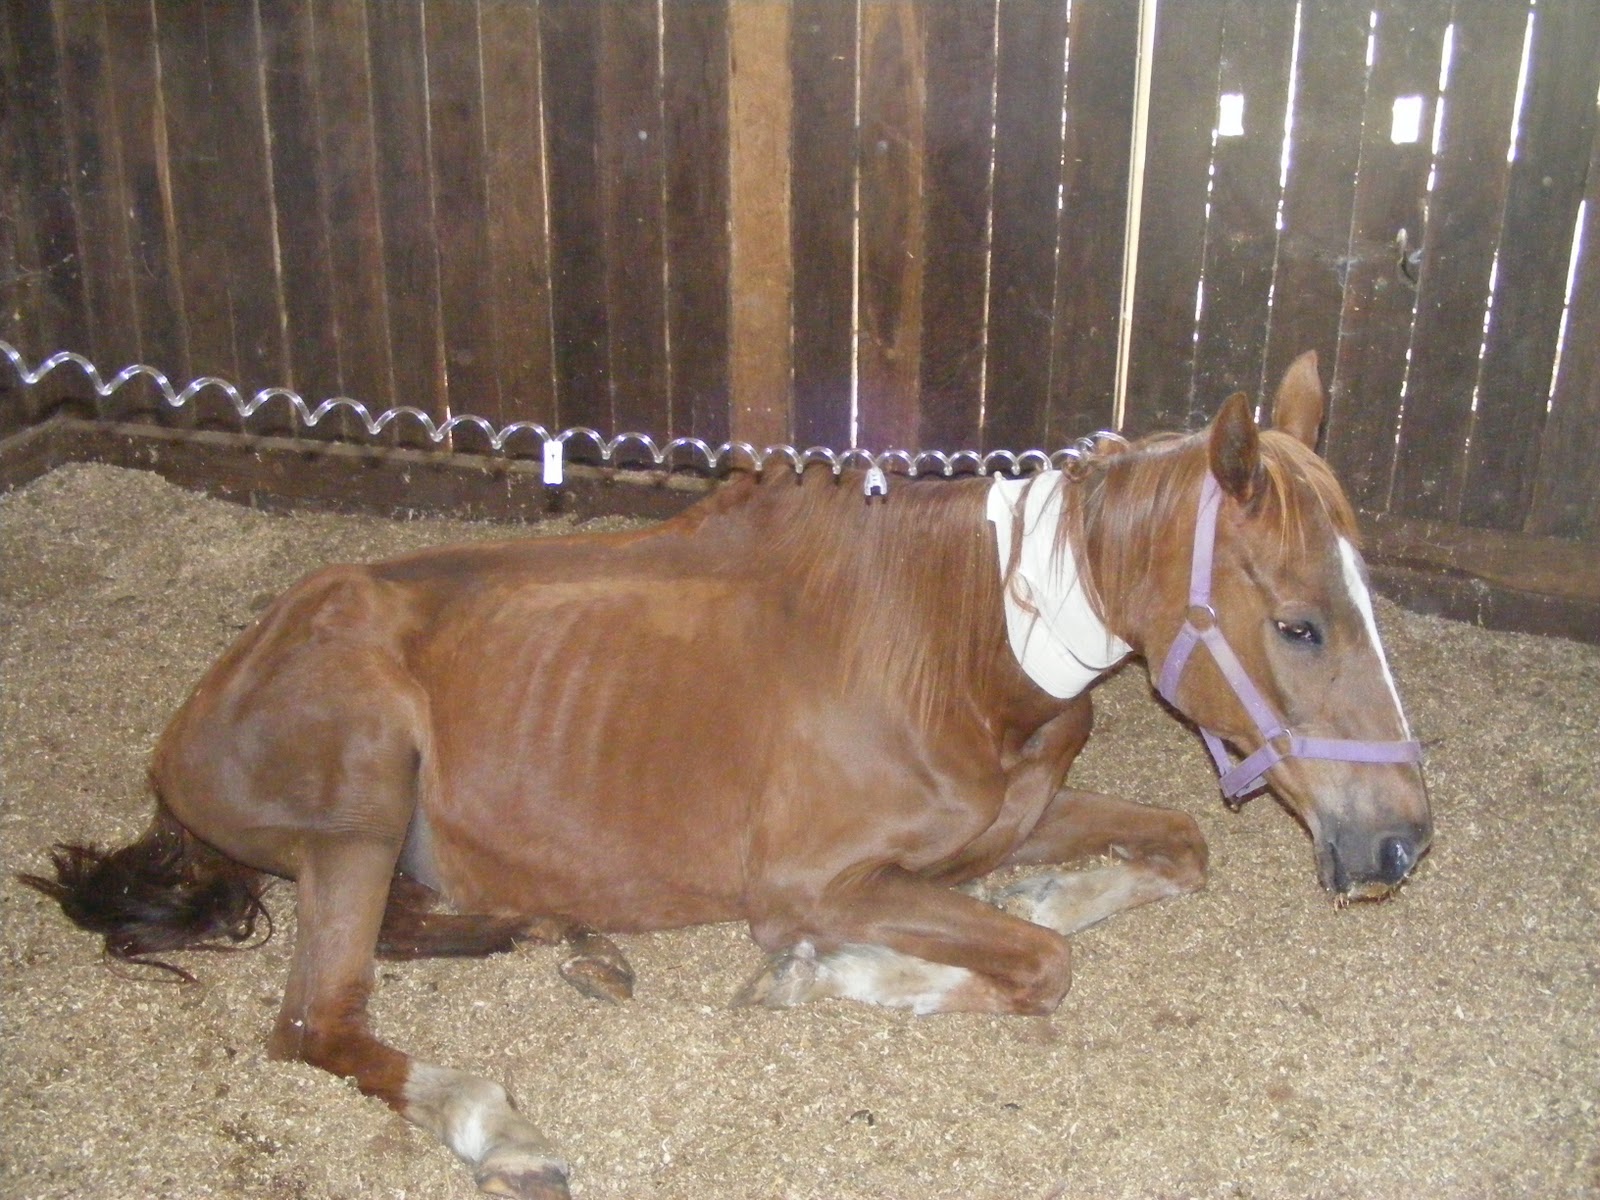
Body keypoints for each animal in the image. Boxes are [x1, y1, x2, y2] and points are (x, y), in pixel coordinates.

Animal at [20, 351, 1429, 1199]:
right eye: (1299, 624)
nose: (1400, 841)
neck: (953, 643)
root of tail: (199, 710)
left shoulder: (1009, 823)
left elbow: (1172, 852)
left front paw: (1040, 897)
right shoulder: (813, 882)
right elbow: (1035, 968)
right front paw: (830, 975)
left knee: (424, 934)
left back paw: (573, 941)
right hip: (361, 804)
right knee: (320, 1021)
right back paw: (501, 1125)